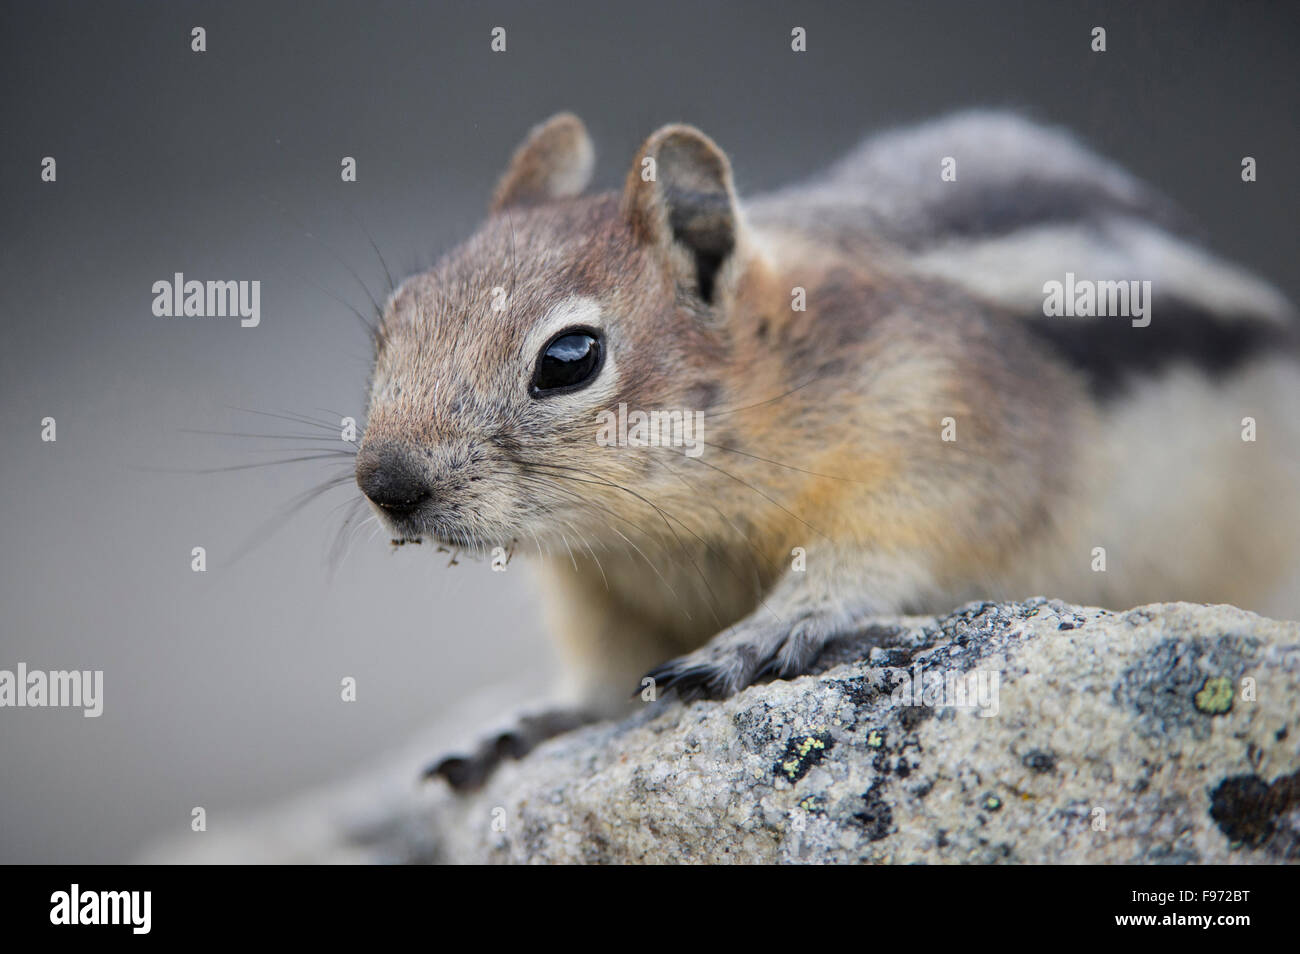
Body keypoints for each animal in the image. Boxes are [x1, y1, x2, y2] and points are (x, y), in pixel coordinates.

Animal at [354, 111, 1300, 789]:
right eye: (395, 318)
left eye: (569, 357)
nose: (386, 484)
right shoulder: (597, 590)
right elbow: (596, 673)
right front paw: (529, 723)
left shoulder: (940, 444)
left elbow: (878, 553)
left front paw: (766, 630)